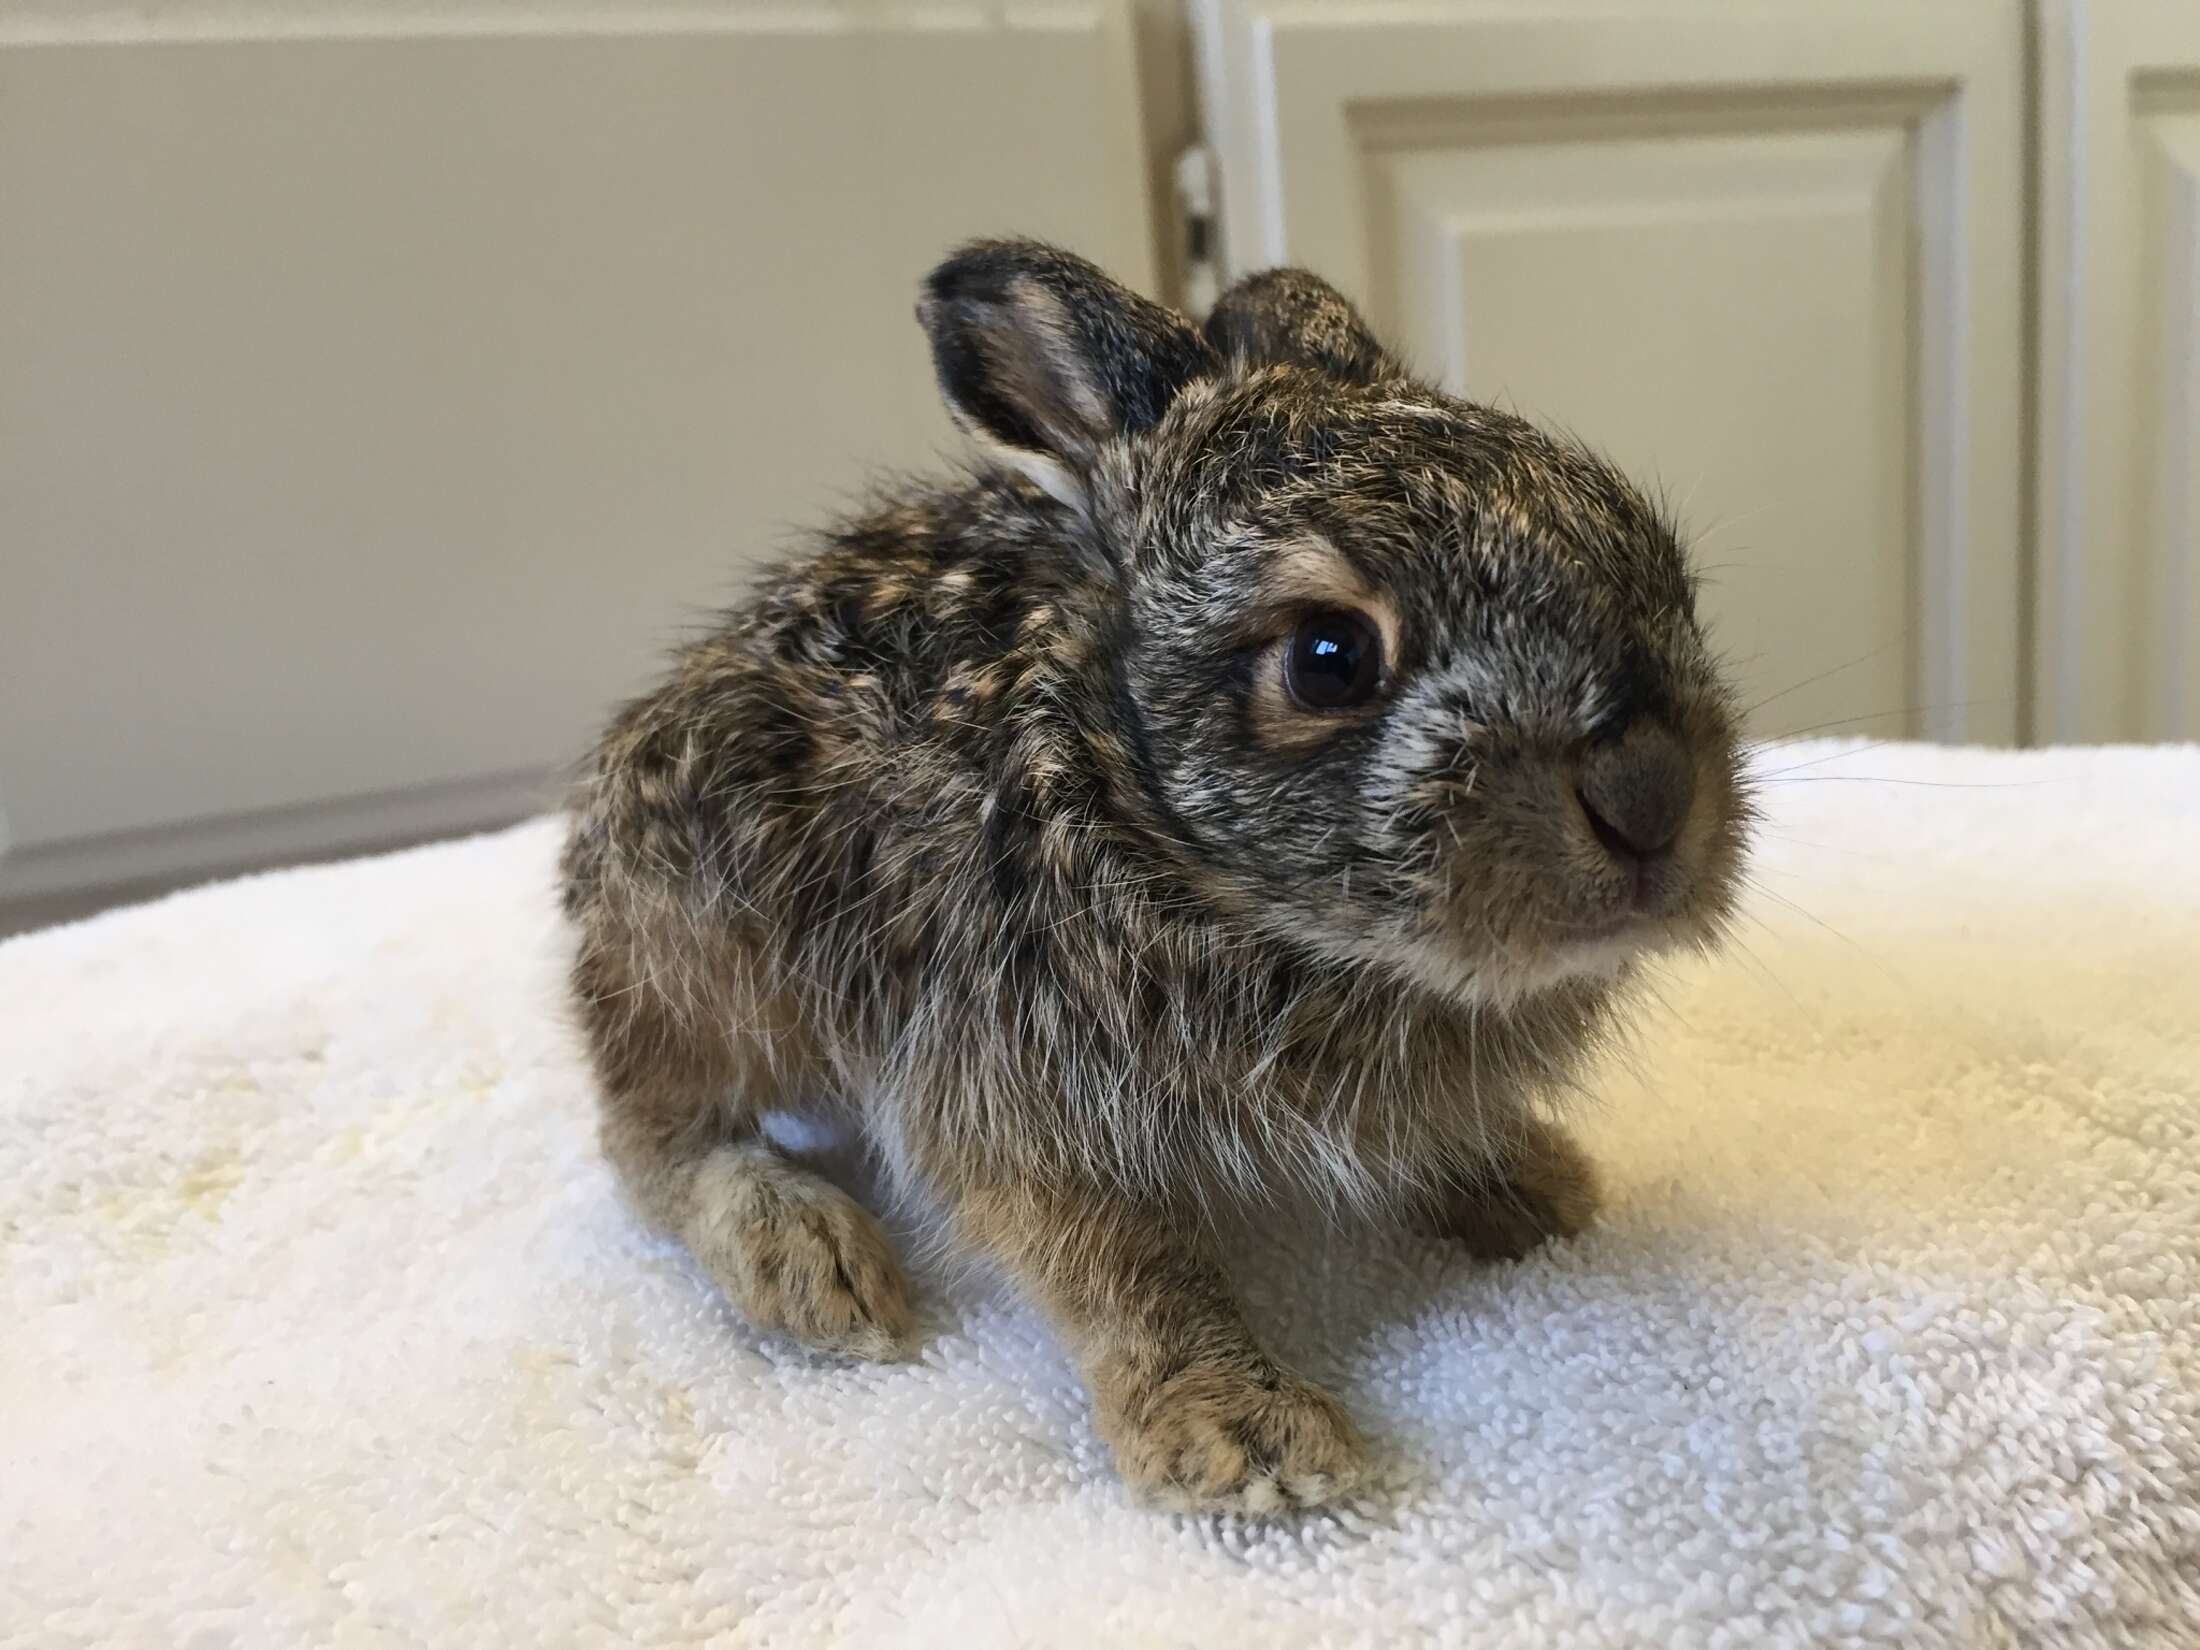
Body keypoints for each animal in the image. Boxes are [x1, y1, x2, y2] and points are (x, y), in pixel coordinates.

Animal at [559, 239, 1751, 1514]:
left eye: (1653, 557)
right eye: (1329, 659)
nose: (1650, 794)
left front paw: (1529, 1188)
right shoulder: (1002, 1086)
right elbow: (1123, 1265)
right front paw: (1244, 1437)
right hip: (717, 951)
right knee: (649, 1136)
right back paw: (807, 1262)